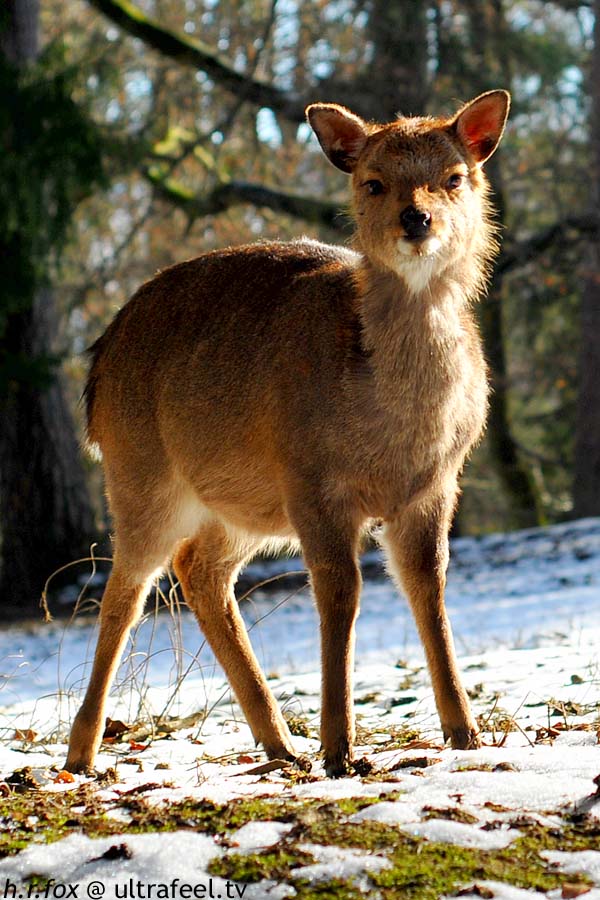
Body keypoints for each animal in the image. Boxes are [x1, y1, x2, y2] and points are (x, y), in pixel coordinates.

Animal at [65, 89, 510, 777]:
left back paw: (278, 742)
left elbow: (428, 585)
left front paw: (465, 733)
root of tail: (98, 361)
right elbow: (341, 591)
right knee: (125, 590)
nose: (416, 219)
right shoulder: (311, 479)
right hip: (140, 470)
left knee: (200, 570)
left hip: (240, 503)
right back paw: (83, 753)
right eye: (373, 181)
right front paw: (341, 750)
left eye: (454, 177)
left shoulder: (435, 485)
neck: (392, 431)